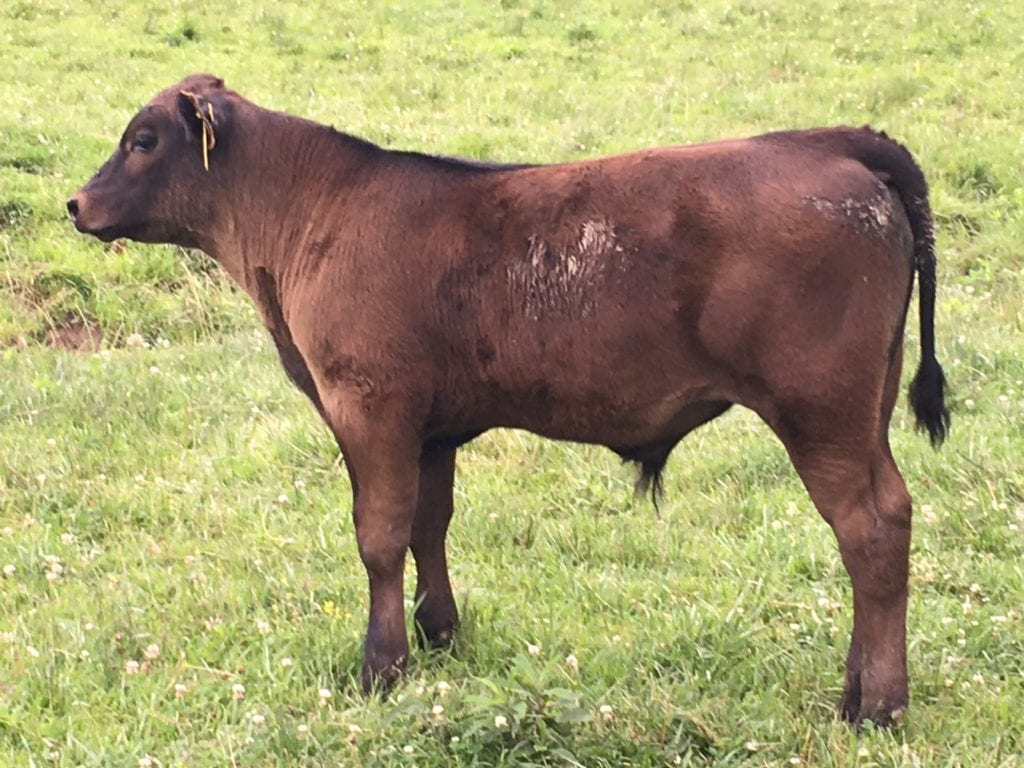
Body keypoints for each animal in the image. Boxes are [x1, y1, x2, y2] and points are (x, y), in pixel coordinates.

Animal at [69, 74, 949, 726]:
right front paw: (439, 636)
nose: (75, 203)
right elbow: (428, 525)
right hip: (864, 409)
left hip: (820, 412)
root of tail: (827, 142)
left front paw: (380, 666)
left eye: (143, 139)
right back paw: (856, 690)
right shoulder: (430, 430)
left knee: (869, 530)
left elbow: (379, 537)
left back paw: (876, 707)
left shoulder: (369, 408)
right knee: (888, 517)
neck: (315, 211)